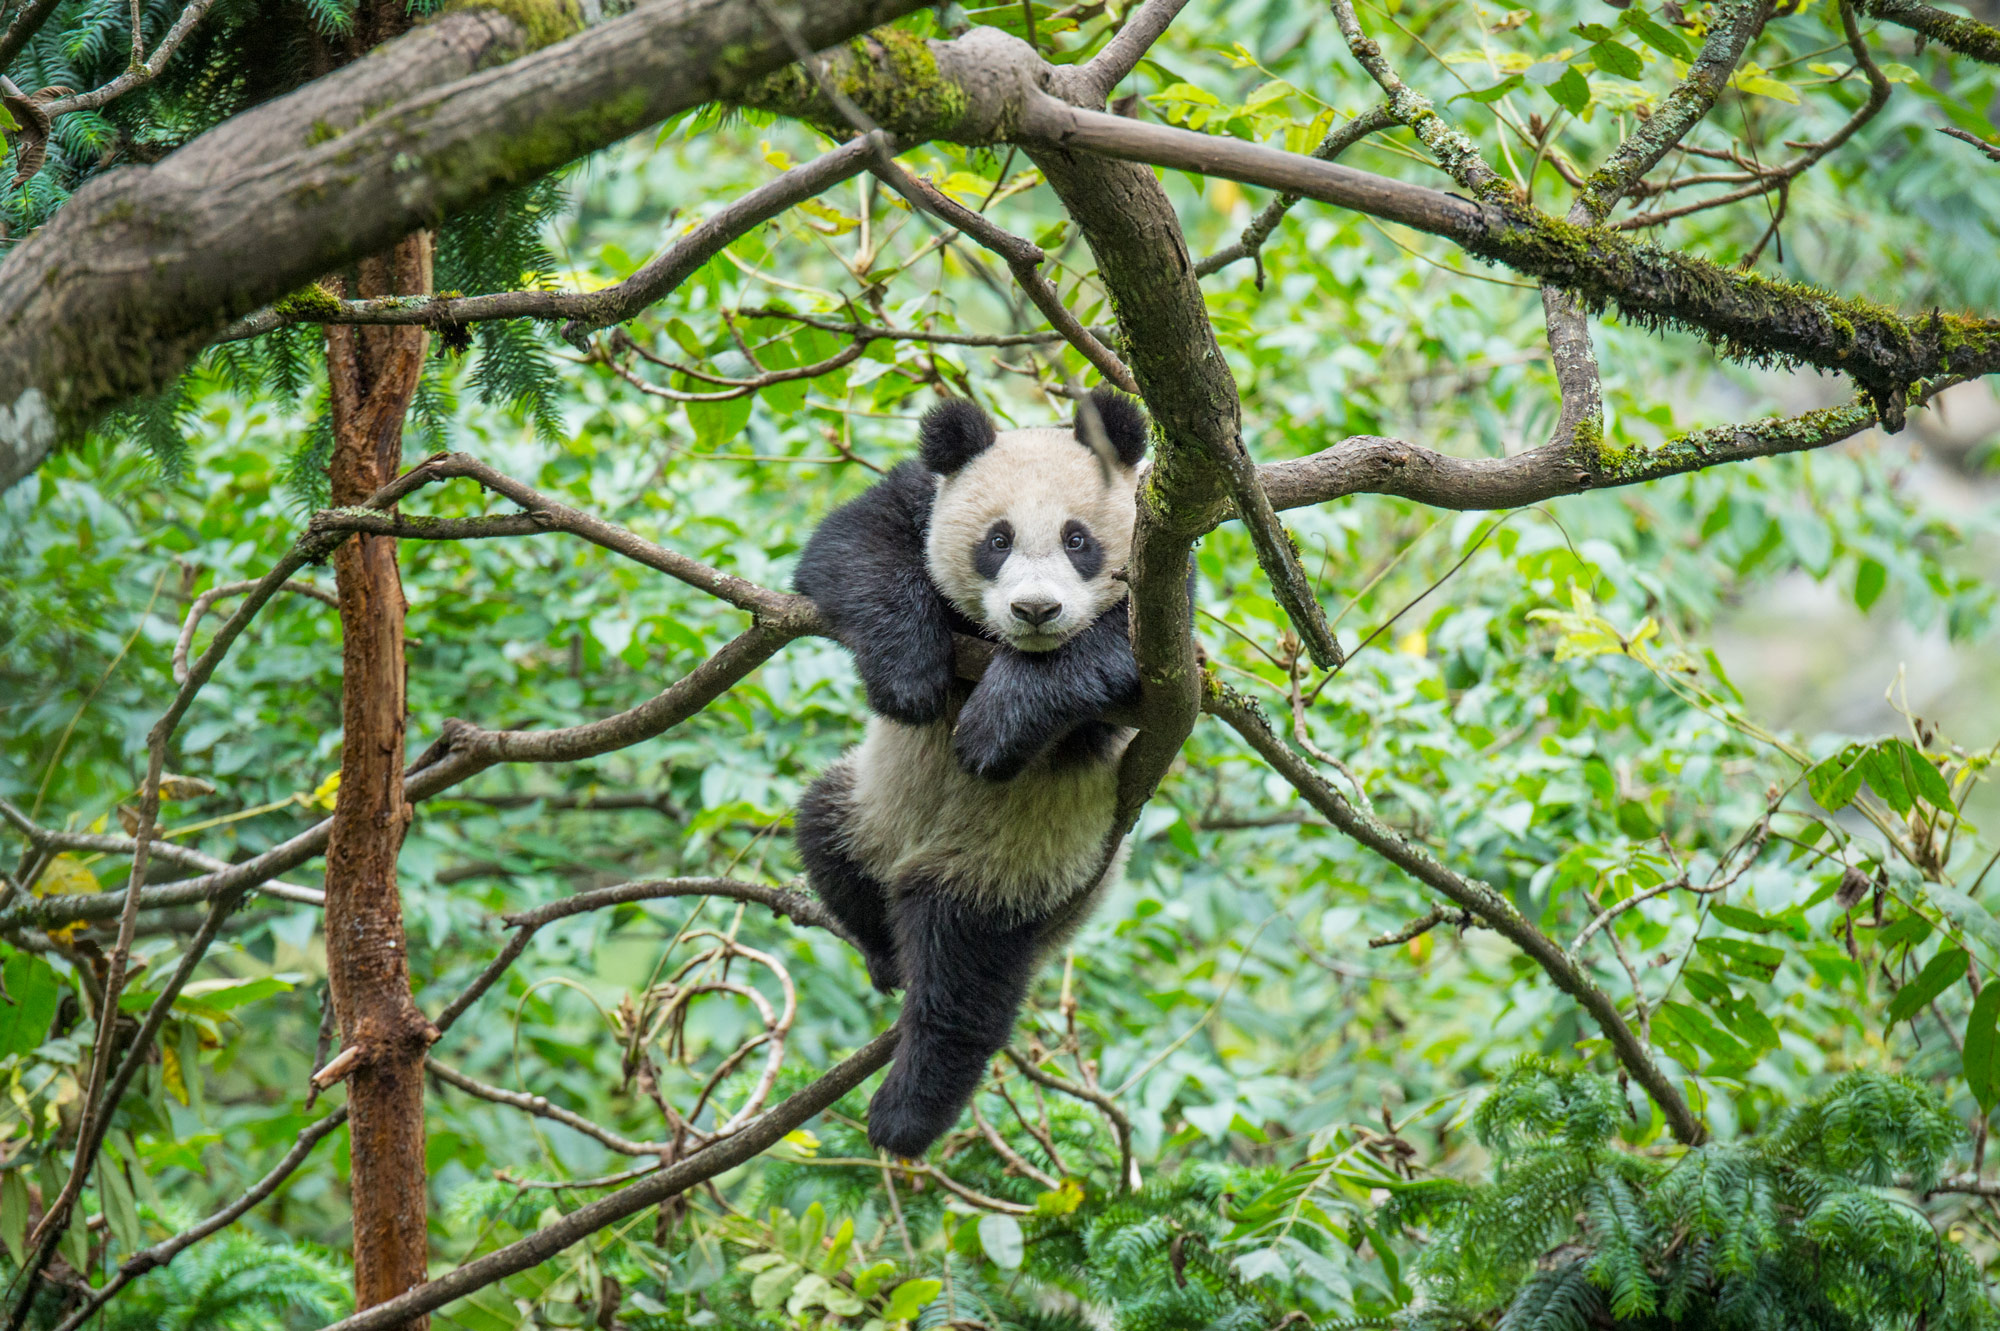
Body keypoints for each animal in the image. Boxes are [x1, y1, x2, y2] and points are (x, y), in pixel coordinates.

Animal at [793, 387, 1150, 1158]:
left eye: (1079, 541)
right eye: (997, 540)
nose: (1036, 610)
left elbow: (1113, 655)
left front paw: (995, 726)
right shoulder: (918, 501)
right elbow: (851, 545)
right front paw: (909, 676)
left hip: (1009, 863)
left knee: (963, 977)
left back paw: (905, 1112)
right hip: (868, 803)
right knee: (824, 832)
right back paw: (883, 953)